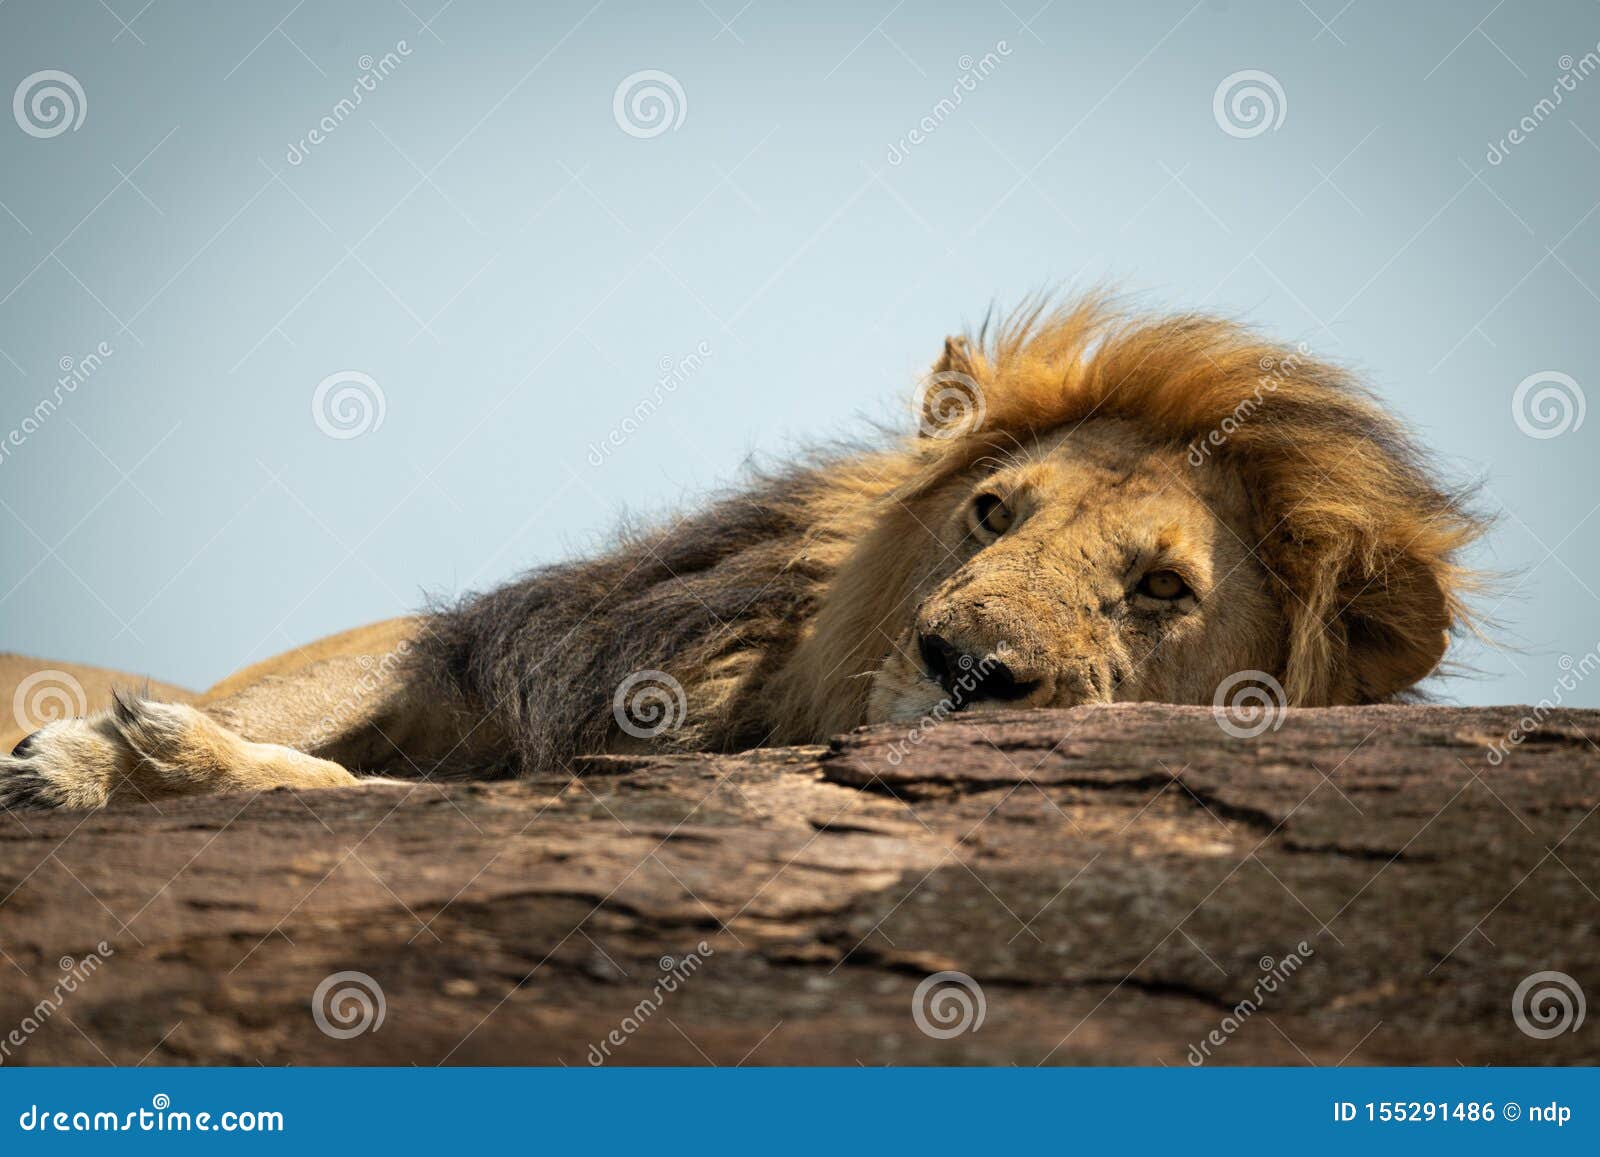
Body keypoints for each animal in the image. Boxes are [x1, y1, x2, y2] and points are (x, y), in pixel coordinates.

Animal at [0, 297, 1485, 809]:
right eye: (991, 513)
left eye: (1162, 589)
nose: (960, 665)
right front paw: (105, 755)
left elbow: (361, 792)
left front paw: (141, 762)